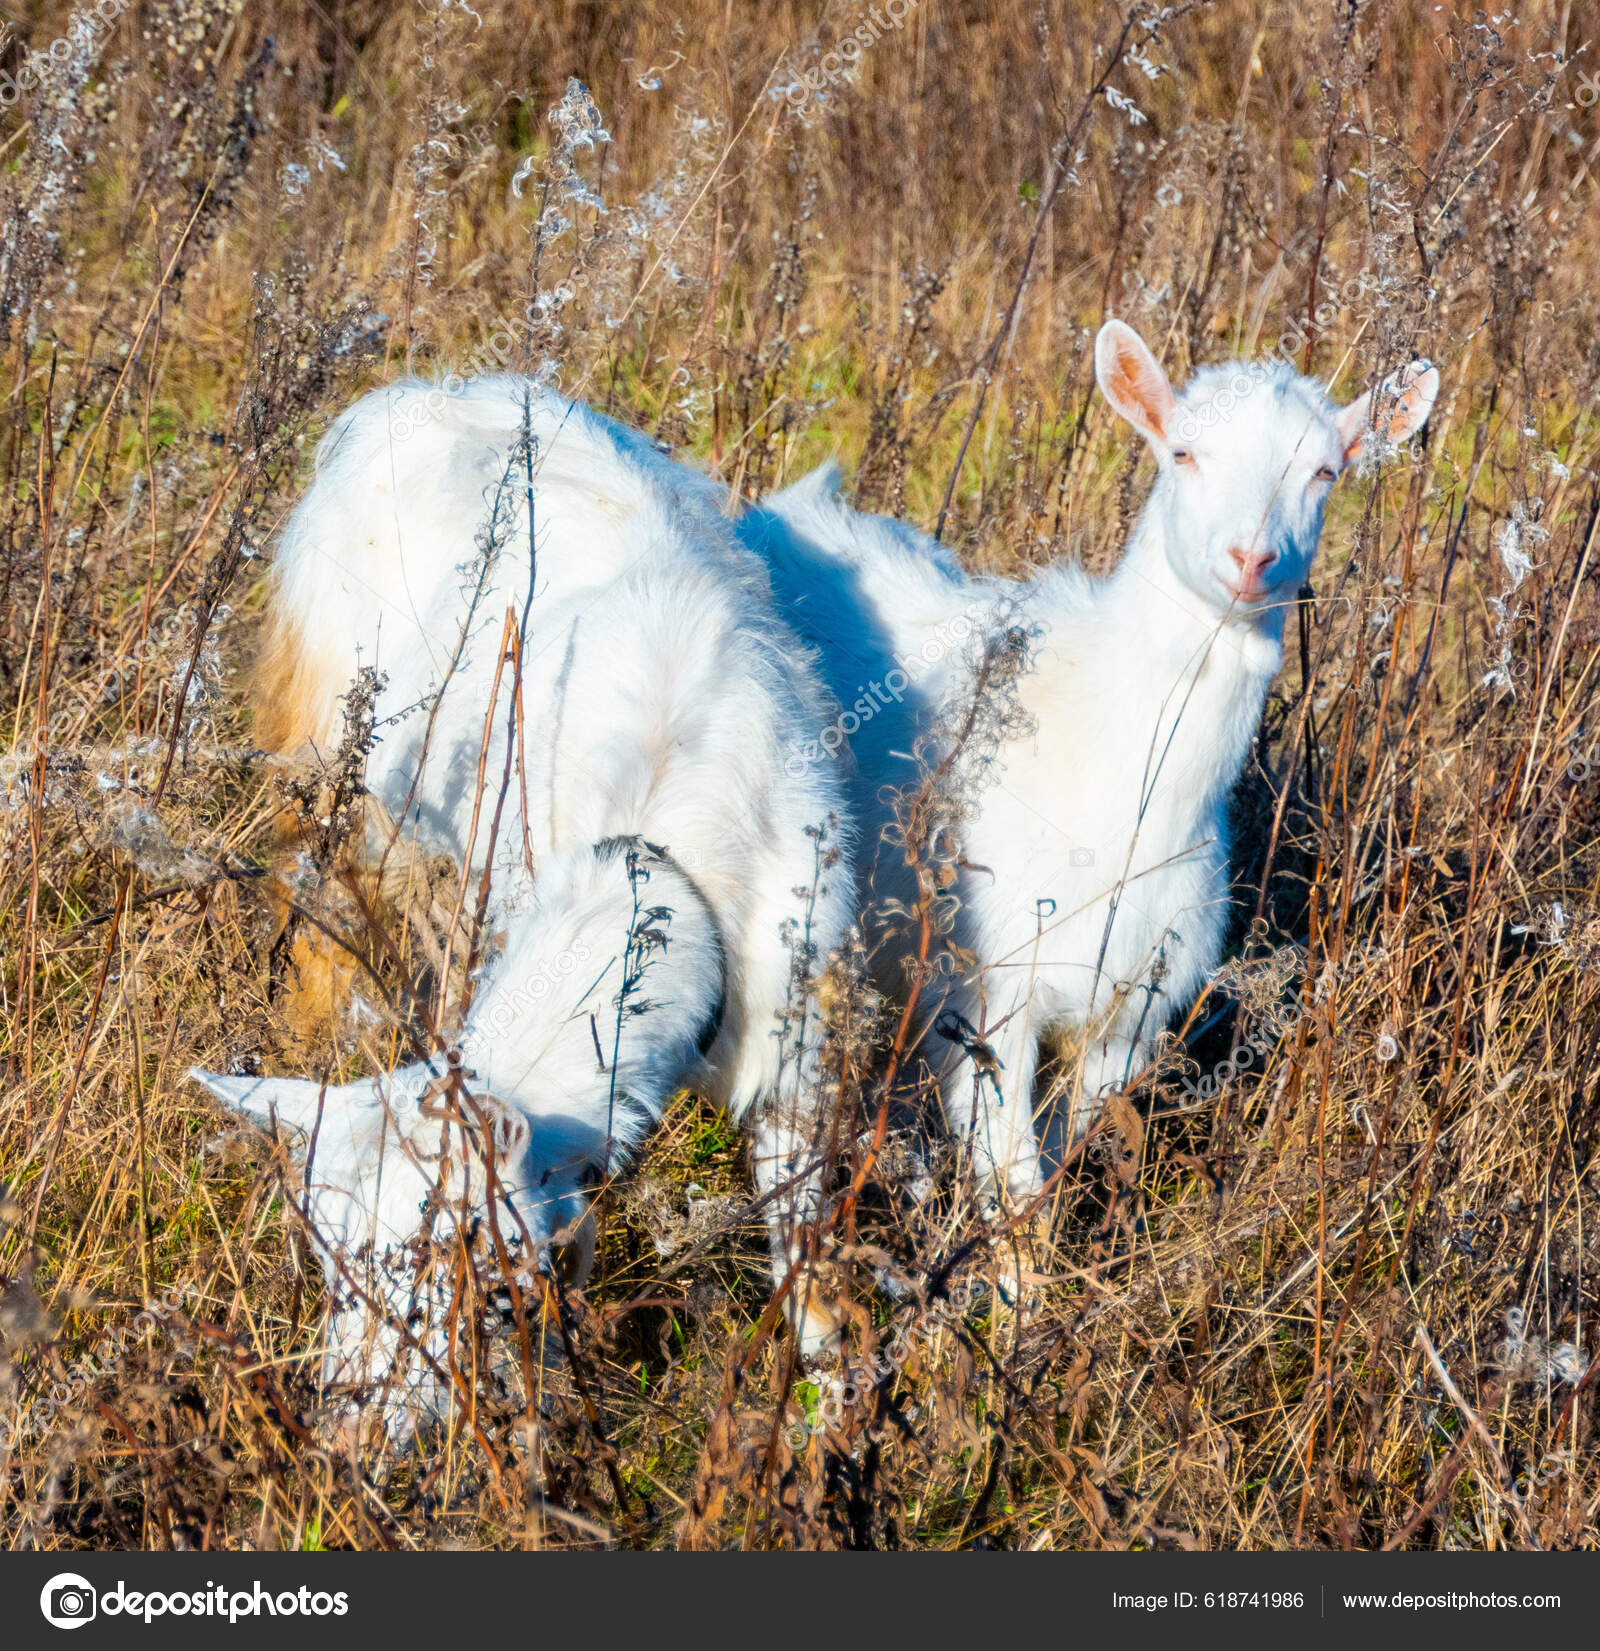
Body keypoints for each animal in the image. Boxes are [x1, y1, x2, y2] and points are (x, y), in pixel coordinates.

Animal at [190, 377, 854, 1426]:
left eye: (442, 1260)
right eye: (331, 1270)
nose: (346, 1420)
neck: (660, 858)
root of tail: (424, 387)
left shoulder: (798, 1043)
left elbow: (812, 1268)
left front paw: (832, 1422)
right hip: (334, 768)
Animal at [742, 319, 1437, 1219]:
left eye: (1325, 471)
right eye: (1182, 453)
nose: (1251, 558)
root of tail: (790, 505)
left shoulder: (1130, 1014)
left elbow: (1064, 1156)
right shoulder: (991, 992)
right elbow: (1014, 1188)